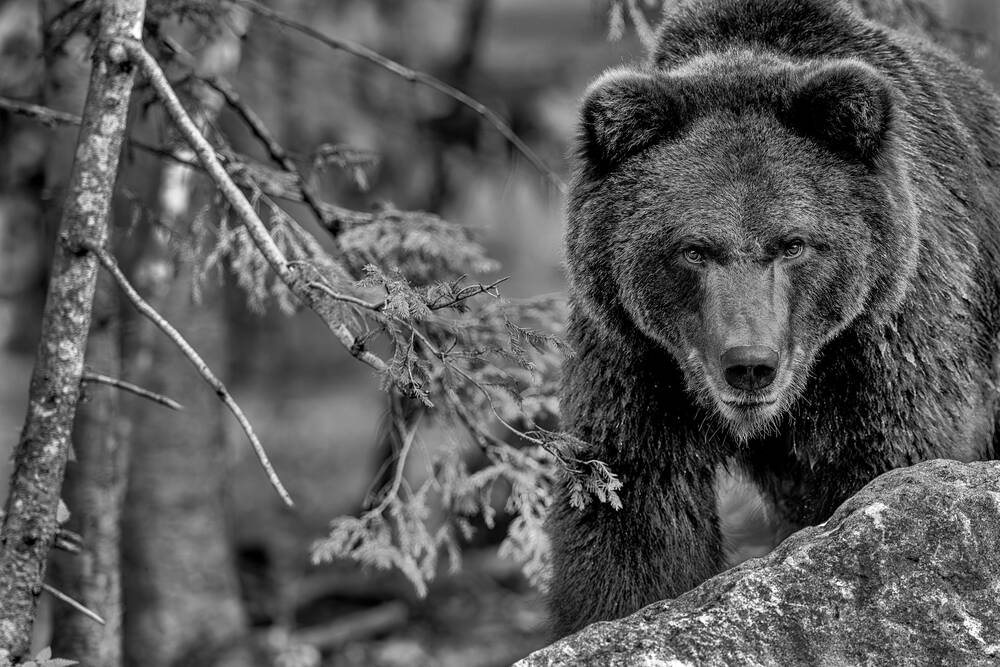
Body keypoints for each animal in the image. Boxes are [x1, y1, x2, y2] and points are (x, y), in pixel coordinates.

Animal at [547, 0, 1000, 639]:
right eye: (693, 249)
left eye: (793, 244)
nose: (749, 364)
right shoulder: (638, 363)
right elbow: (630, 523)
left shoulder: (885, 350)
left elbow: (885, 479)